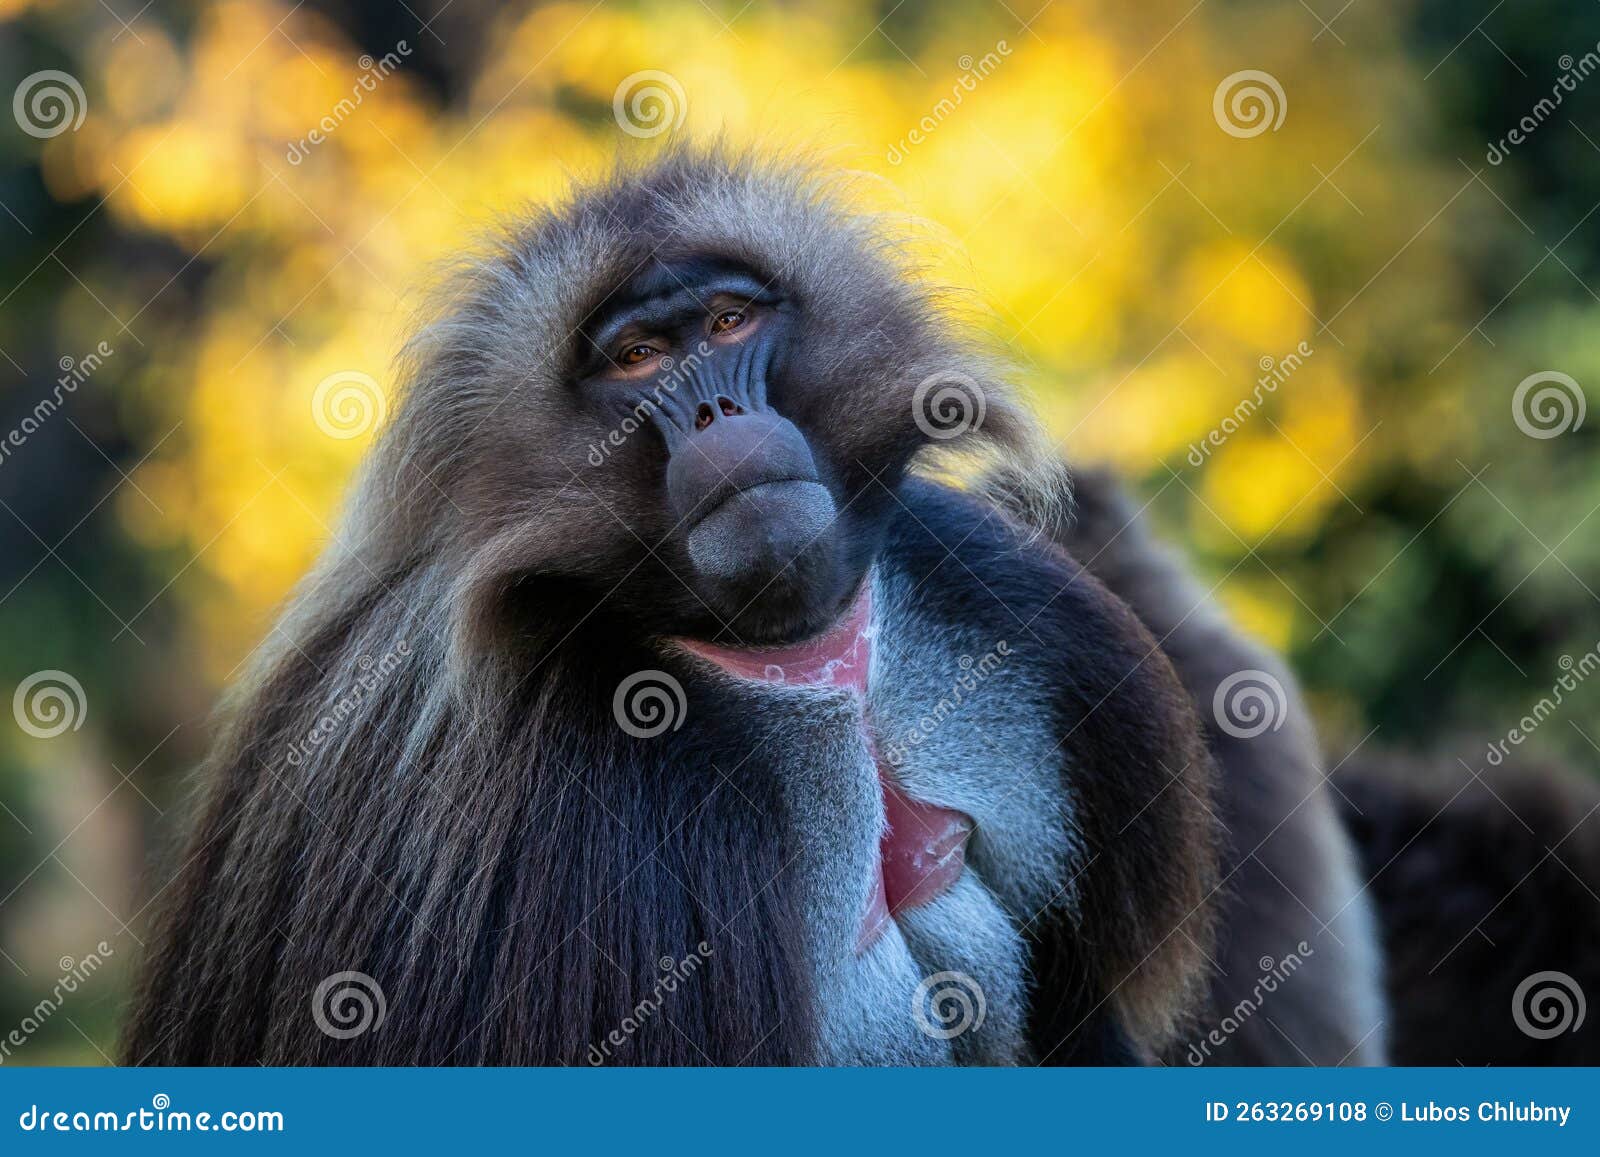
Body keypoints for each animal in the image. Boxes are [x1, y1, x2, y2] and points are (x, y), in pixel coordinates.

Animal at [126, 147, 1581, 1067]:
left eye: (727, 322)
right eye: (637, 357)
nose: (719, 411)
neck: (779, 651)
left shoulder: (991, 597)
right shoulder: (561, 813)